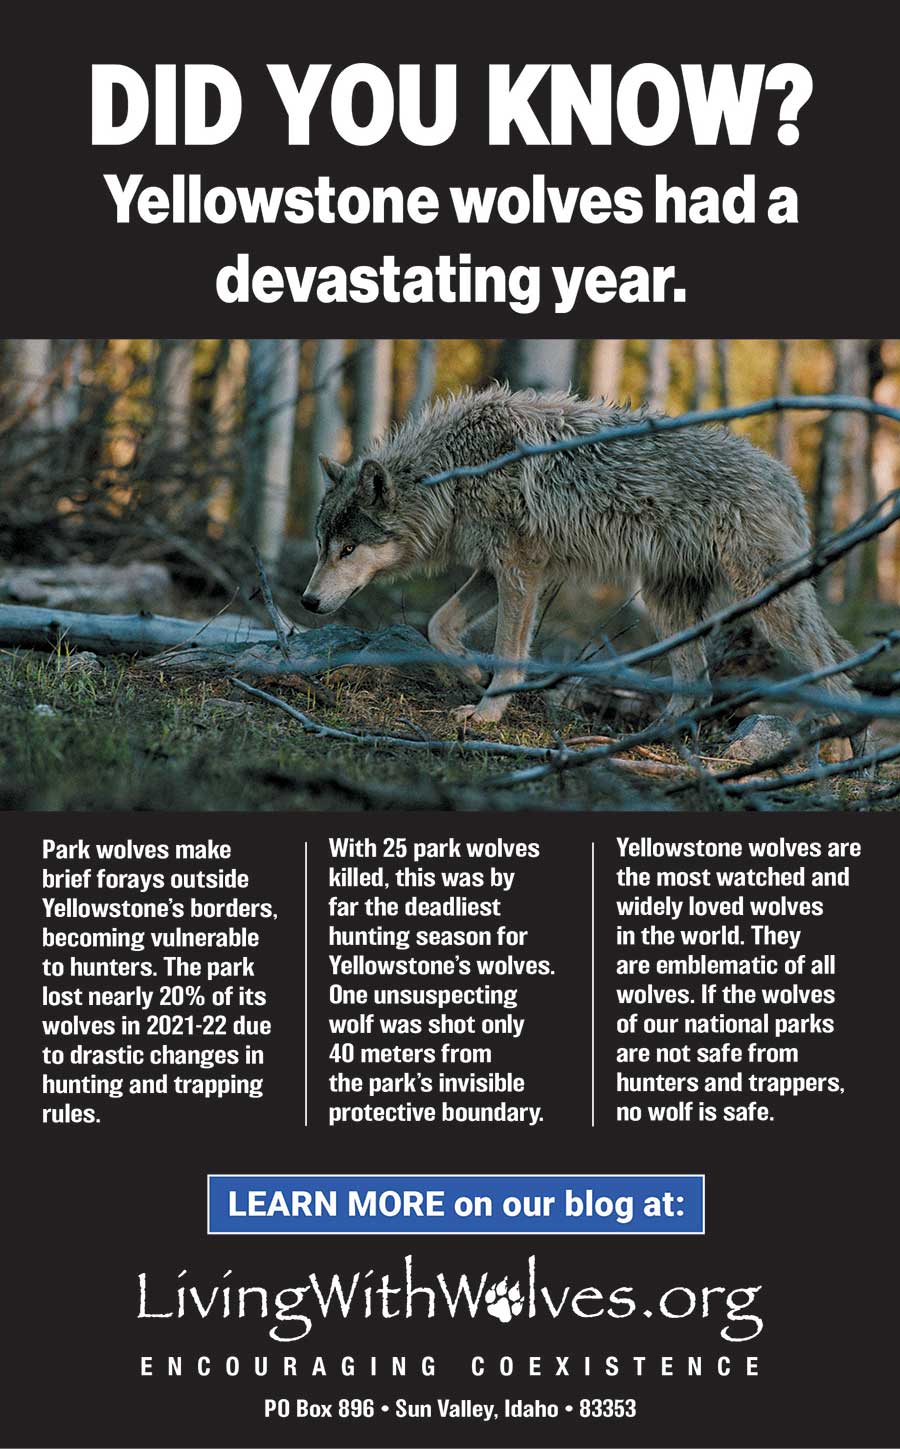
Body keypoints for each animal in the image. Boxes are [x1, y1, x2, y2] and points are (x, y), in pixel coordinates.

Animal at [303, 384, 859, 735]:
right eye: (322, 545)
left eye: (348, 549)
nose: (307, 601)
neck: (456, 472)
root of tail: (785, 478)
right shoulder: (493, 569)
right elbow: (439, 625)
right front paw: (470, 673)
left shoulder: (521, 571)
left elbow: (509, 653)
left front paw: (487, 715)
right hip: (666, 603)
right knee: (696, 687)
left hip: (767, 606)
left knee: (843, 687)